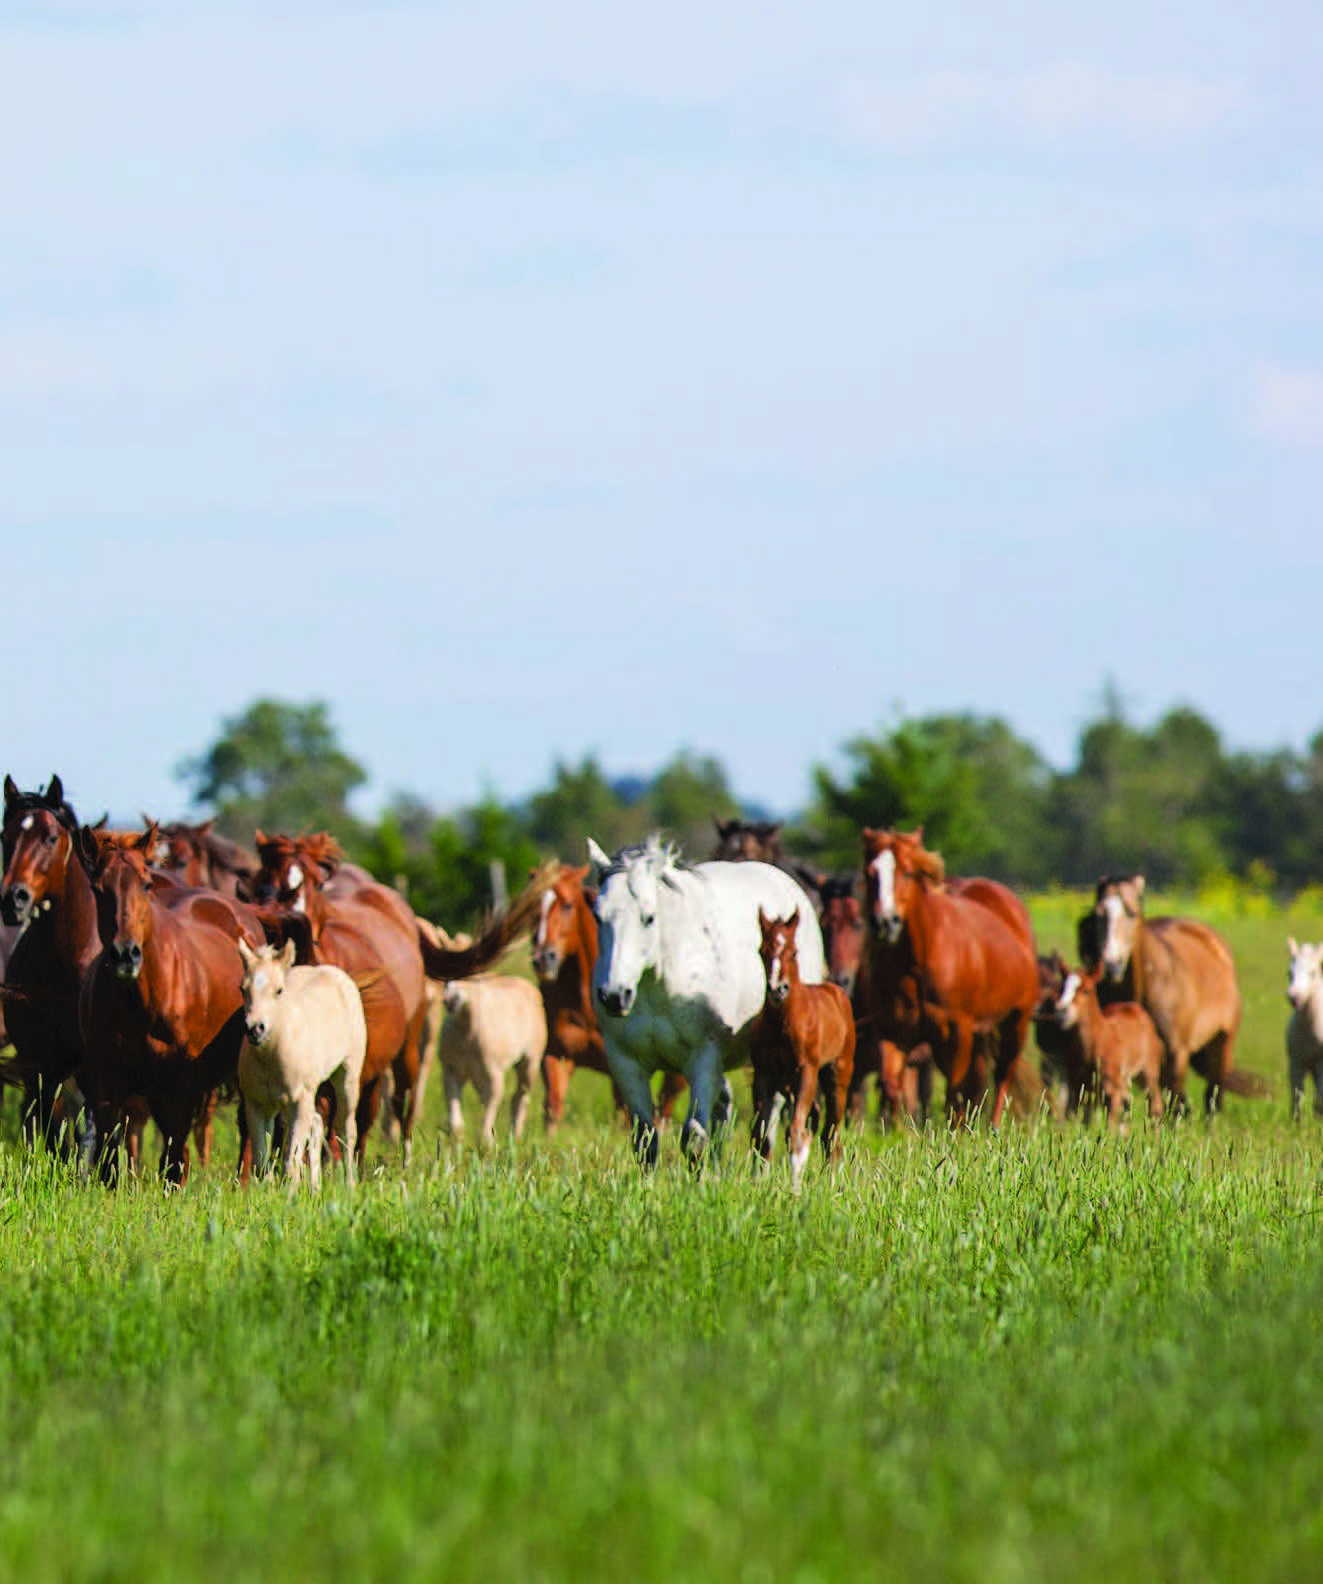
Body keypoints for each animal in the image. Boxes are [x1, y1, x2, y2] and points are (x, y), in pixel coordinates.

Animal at [76, 822, 271, 1185]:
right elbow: (111, 1161)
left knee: (245, 1126)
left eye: (146, 883)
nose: (125, 955)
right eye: (97, 888)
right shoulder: (106, 1085)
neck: (142, 1003)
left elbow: (174, 1161)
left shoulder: (178, 1088)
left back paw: (244, 1183)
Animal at [590, 834, 825, 1168]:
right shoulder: (627, 1062)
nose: (614, 995)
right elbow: (646, 1142)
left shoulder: (703, 1058)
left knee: (765, 1128)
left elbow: (694, 1138)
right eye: (598, 916)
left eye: (649, 918)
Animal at [751, 908, 854, 1183]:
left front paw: (794, 1186)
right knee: (817, 1121)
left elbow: (796, 1130)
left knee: (831, 1133)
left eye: (794, 952)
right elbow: (761, 1134)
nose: (778, 989)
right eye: (762, 951)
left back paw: (832, 1181)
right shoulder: (763, 1075)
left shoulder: (807, 1072)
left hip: (836, 1076)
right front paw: (757, 1182)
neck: (784, 1024)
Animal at [861, 827, 1039, 1127]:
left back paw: (992, 1127)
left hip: (1016, 1022)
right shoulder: (891, 1030)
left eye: (907, 872)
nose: (884, 923)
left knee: (1002, 1075)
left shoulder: (957, 1033)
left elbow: (953, 1092)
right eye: (870, 872)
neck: (918, 959)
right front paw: (894, 1130)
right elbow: (891, 1086)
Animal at [1080, 874, 1266, 1114]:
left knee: (1212, 1097)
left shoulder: (1176, 1053)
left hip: (1221, 1043)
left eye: (1132, 913)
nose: (1112, 965)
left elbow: (1174, 1103)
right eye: (1098, 914)